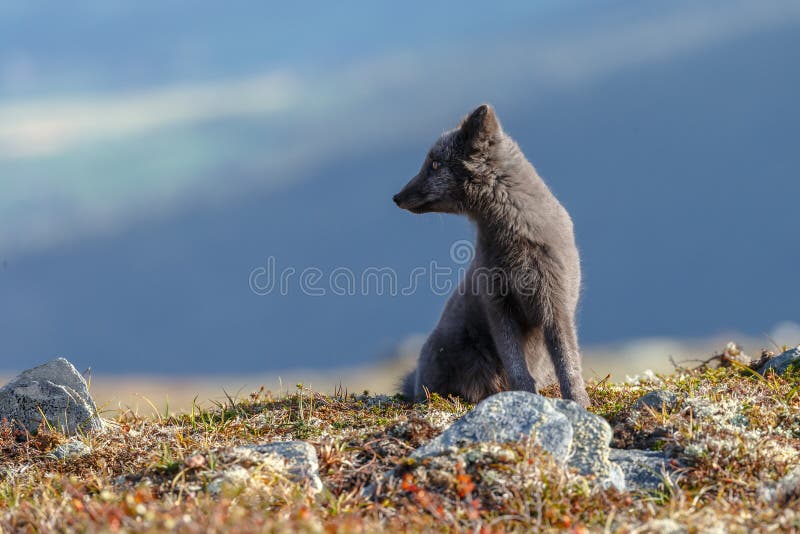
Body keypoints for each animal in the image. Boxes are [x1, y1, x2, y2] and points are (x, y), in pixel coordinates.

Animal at [393, 104, 590, 407]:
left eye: (435, 164)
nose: (396, 197)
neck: (515, 236)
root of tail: (414, 381)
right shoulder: (498, 305)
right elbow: (516, 367)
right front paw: (524, 396)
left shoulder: (554, 306)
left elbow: (568, 363)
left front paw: (578, 402)